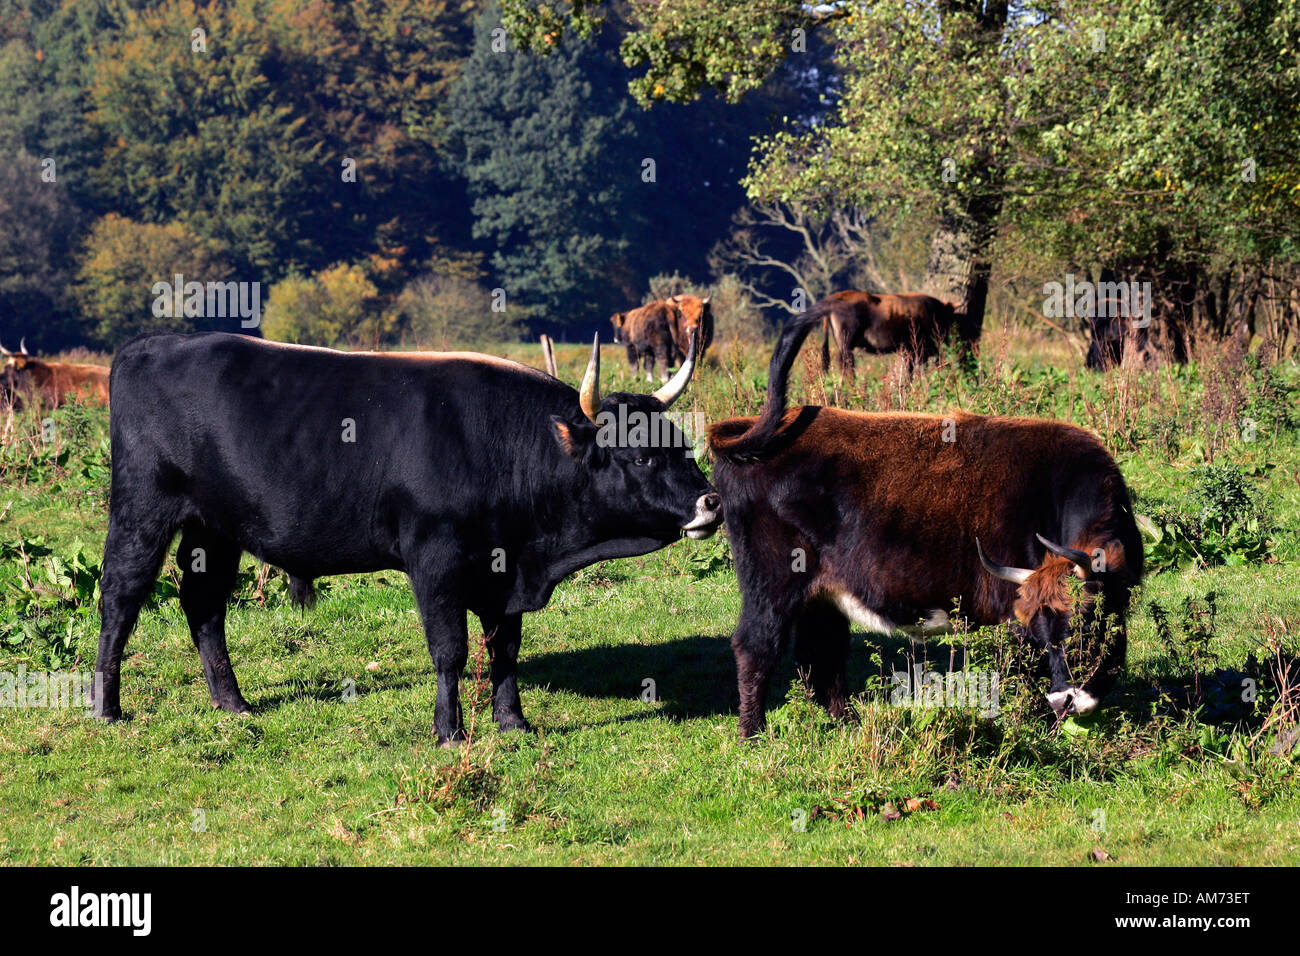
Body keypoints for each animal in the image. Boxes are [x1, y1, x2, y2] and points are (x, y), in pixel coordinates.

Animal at [90, 331, 722, 745]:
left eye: (681, 445)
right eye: (640, 456)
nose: (710, 503)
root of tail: (149, 345)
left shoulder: (503, 571)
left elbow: (506, 647)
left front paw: (514, 722)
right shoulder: (436, 561)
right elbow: (451, 651)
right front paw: (450, 731)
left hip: (215, 527)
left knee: (204, 604)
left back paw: (233, 704)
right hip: (143, 507)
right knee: (120, 597)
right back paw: (107, 707)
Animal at [707, 309, 1142, 739]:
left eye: (1081, 627)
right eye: (1042, 632)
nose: (1064, 700)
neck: (1057, 488)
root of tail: (755, 434)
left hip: (821, 595)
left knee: (821, 654)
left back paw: (849, 724)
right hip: (772, 586)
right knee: (756, 646)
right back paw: (753, 732)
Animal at [812, 291, 975, 379]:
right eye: (949, 317)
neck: (935, 312)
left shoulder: (909, 351)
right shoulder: (917, 350)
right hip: (847, 345)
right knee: (846, 365)